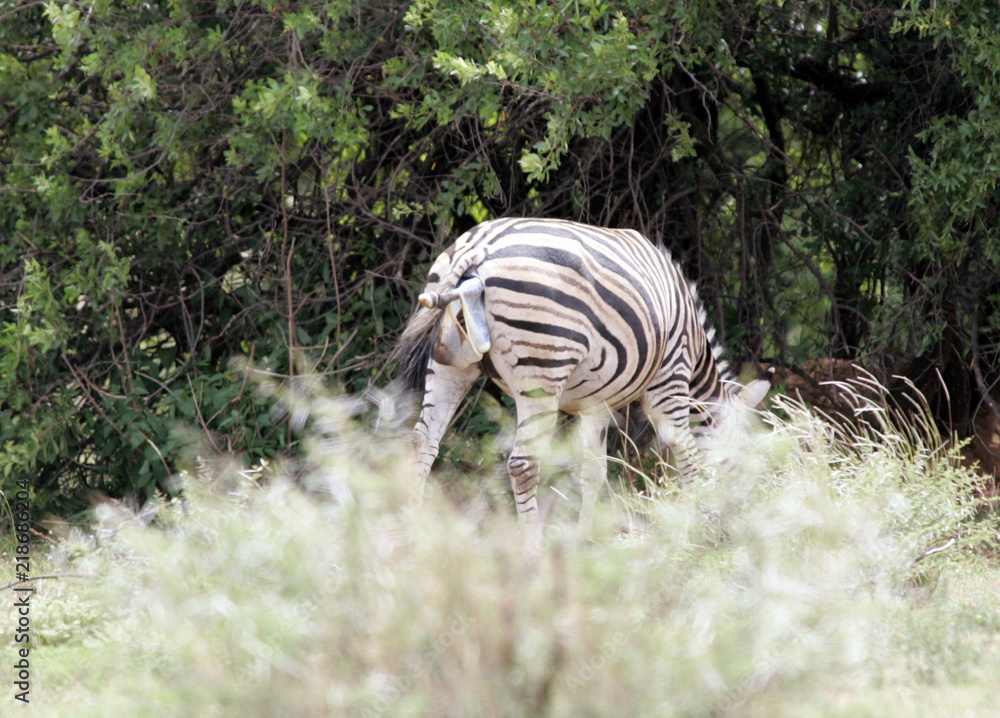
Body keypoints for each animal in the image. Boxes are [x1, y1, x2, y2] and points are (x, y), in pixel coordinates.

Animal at [394, 217, 769, 523]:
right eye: (742, 457)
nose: (744, 514)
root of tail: (478, 248)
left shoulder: (596, 403)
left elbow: (592, 473)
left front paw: (584, 537)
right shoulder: (670, 381)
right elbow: (688, 458)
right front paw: (696, 524)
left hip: (449, 364)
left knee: (422, 443)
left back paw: (409, 530)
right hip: (541, 371)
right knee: (523, 464)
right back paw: (532, 552)